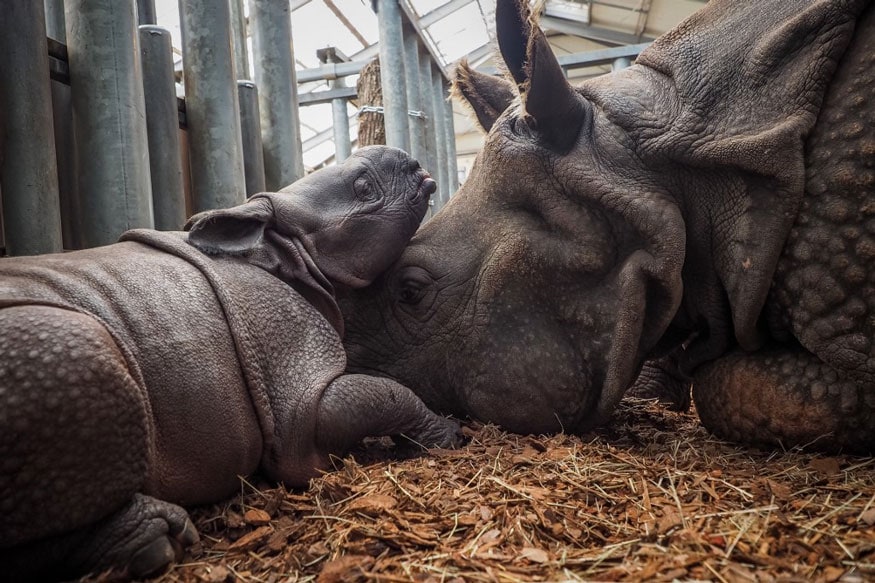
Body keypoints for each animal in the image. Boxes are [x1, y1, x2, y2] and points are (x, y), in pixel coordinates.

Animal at [0, 146, 459, 581]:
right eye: (363, 187)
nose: (415, 164)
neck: (284, 252)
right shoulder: (293, 388)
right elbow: (378, 396)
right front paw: (451, 434)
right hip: (52, 351)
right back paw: (157, 542)